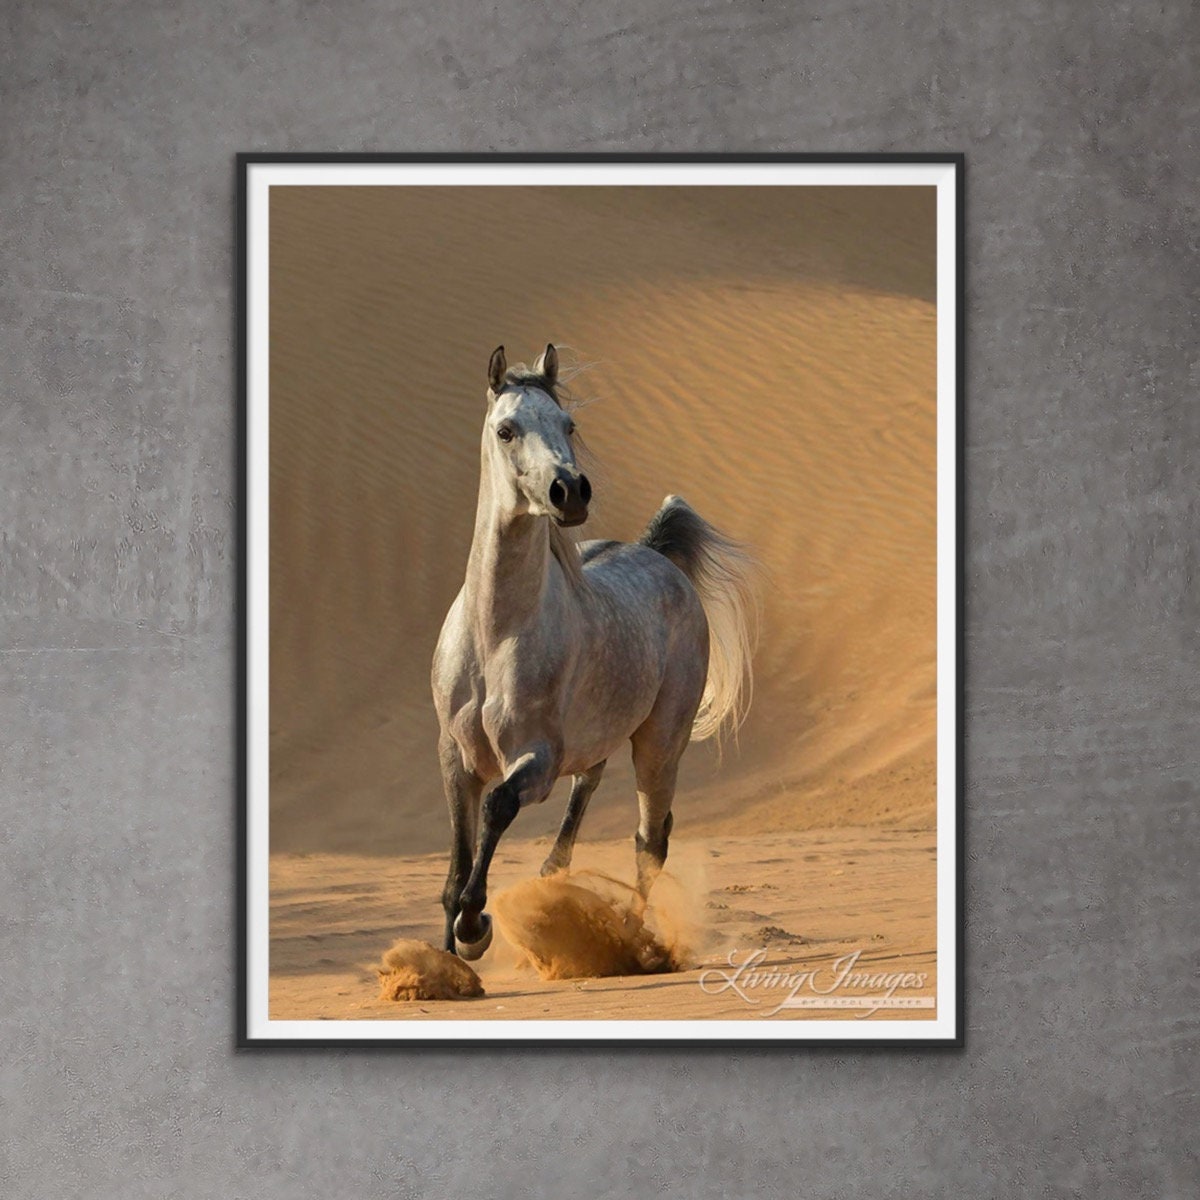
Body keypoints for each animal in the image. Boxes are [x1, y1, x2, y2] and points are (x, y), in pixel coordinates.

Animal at [431, 343, 756, 959]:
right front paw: (446, 958)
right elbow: (457, 868)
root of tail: (657, 555)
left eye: (569, 424)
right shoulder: (455, 758)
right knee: (575, 829)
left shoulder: (537, 761)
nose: (571, 492)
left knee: (651, 840)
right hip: (597, 747)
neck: (495, 638)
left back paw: (633, 941)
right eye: (506, 430)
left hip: (659, 744)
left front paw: (475, 928)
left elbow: (497, 808)